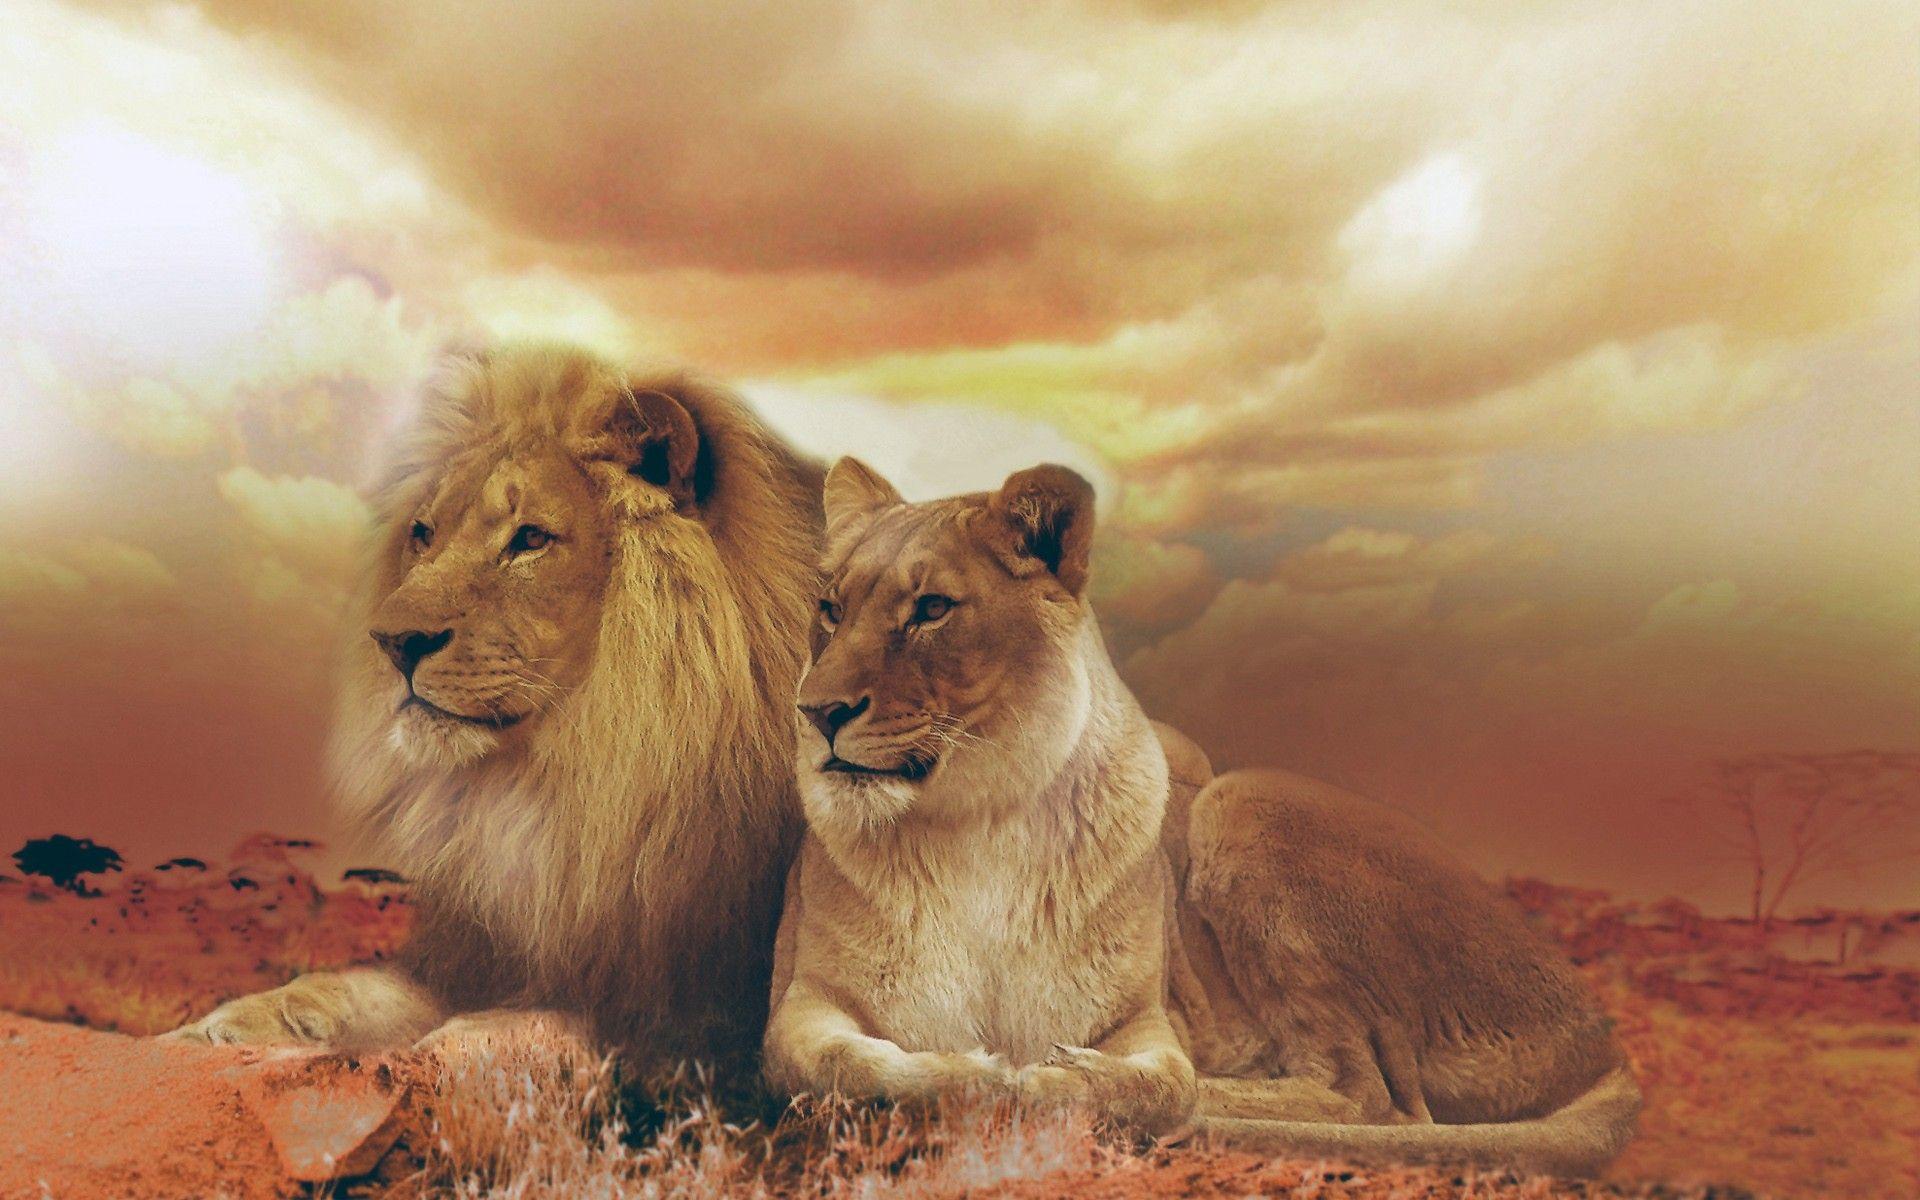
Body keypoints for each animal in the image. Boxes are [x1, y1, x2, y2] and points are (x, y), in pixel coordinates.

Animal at [170, 344, 821, 1071]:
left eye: (530, 538)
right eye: (424, 534)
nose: (391, 641)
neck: (576, 788)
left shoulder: (703, 1024)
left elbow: (543, 1018)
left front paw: (453, 1051)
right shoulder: (474, 957)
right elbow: (349, 987)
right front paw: (224, 1026)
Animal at [763, 458, 1640, 1176]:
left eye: (933, 608)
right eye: (830, 608)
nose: (817, 712)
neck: (976, 819)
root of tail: (1601, 1036)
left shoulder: (1144, 1020)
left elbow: (1161, 1083)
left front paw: (1060, 1077)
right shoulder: (799, 1004)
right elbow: (842, 1064)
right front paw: (975, 1073)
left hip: (1238, 799)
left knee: (1369, 1095)